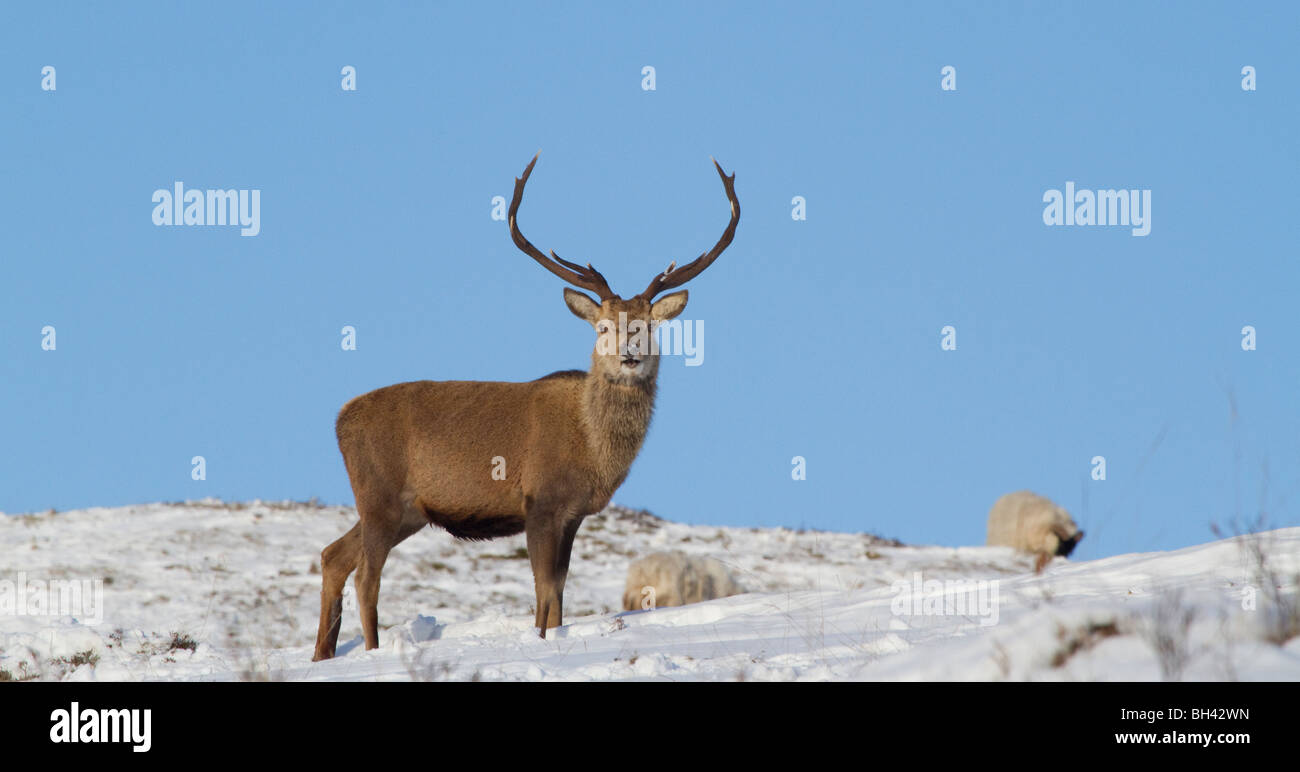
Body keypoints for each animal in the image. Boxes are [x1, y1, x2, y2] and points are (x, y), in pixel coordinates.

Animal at [312, 154, 739, 660]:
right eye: (603, 327)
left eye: (649, 327)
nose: (629, 356)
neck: (591, 447)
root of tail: (340, 419)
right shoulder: (538, 500)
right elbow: (544, 590)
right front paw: (539, 641)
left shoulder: (572, 514)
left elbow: (560, 594)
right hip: (377, 494)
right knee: (367, 577)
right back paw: (372, 652)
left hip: (406, 509)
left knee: (334, 555)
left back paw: (321, 654)